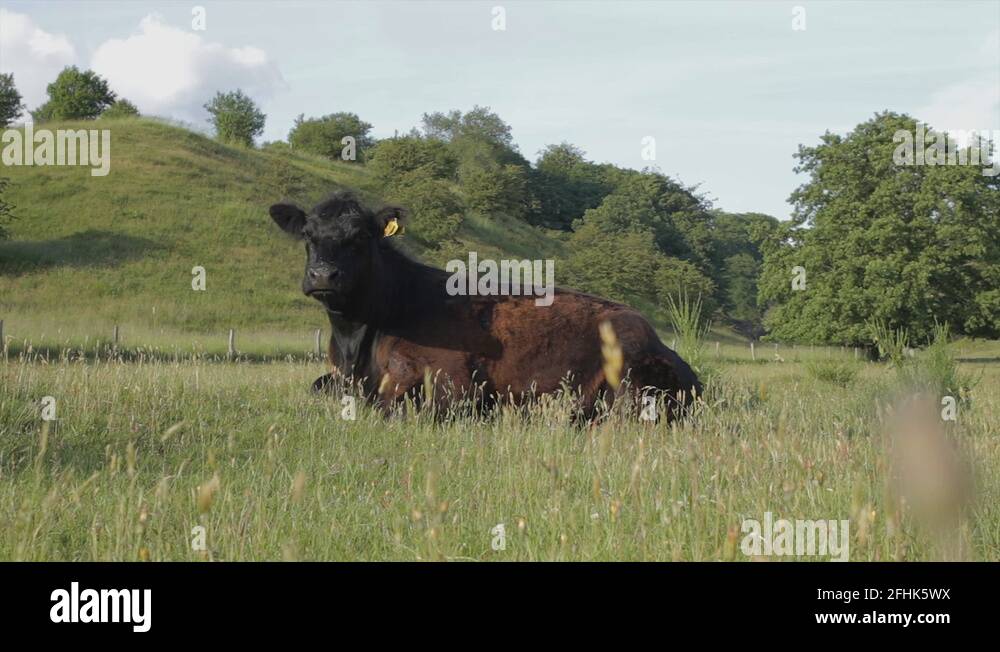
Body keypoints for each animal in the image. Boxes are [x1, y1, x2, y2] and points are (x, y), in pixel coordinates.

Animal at [270, 191, 701, 420]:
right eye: (308, 235)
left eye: (360, 236)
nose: (323, 275)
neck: (356, 340)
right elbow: (318, 387)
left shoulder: (452, 383)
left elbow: (397, 405)